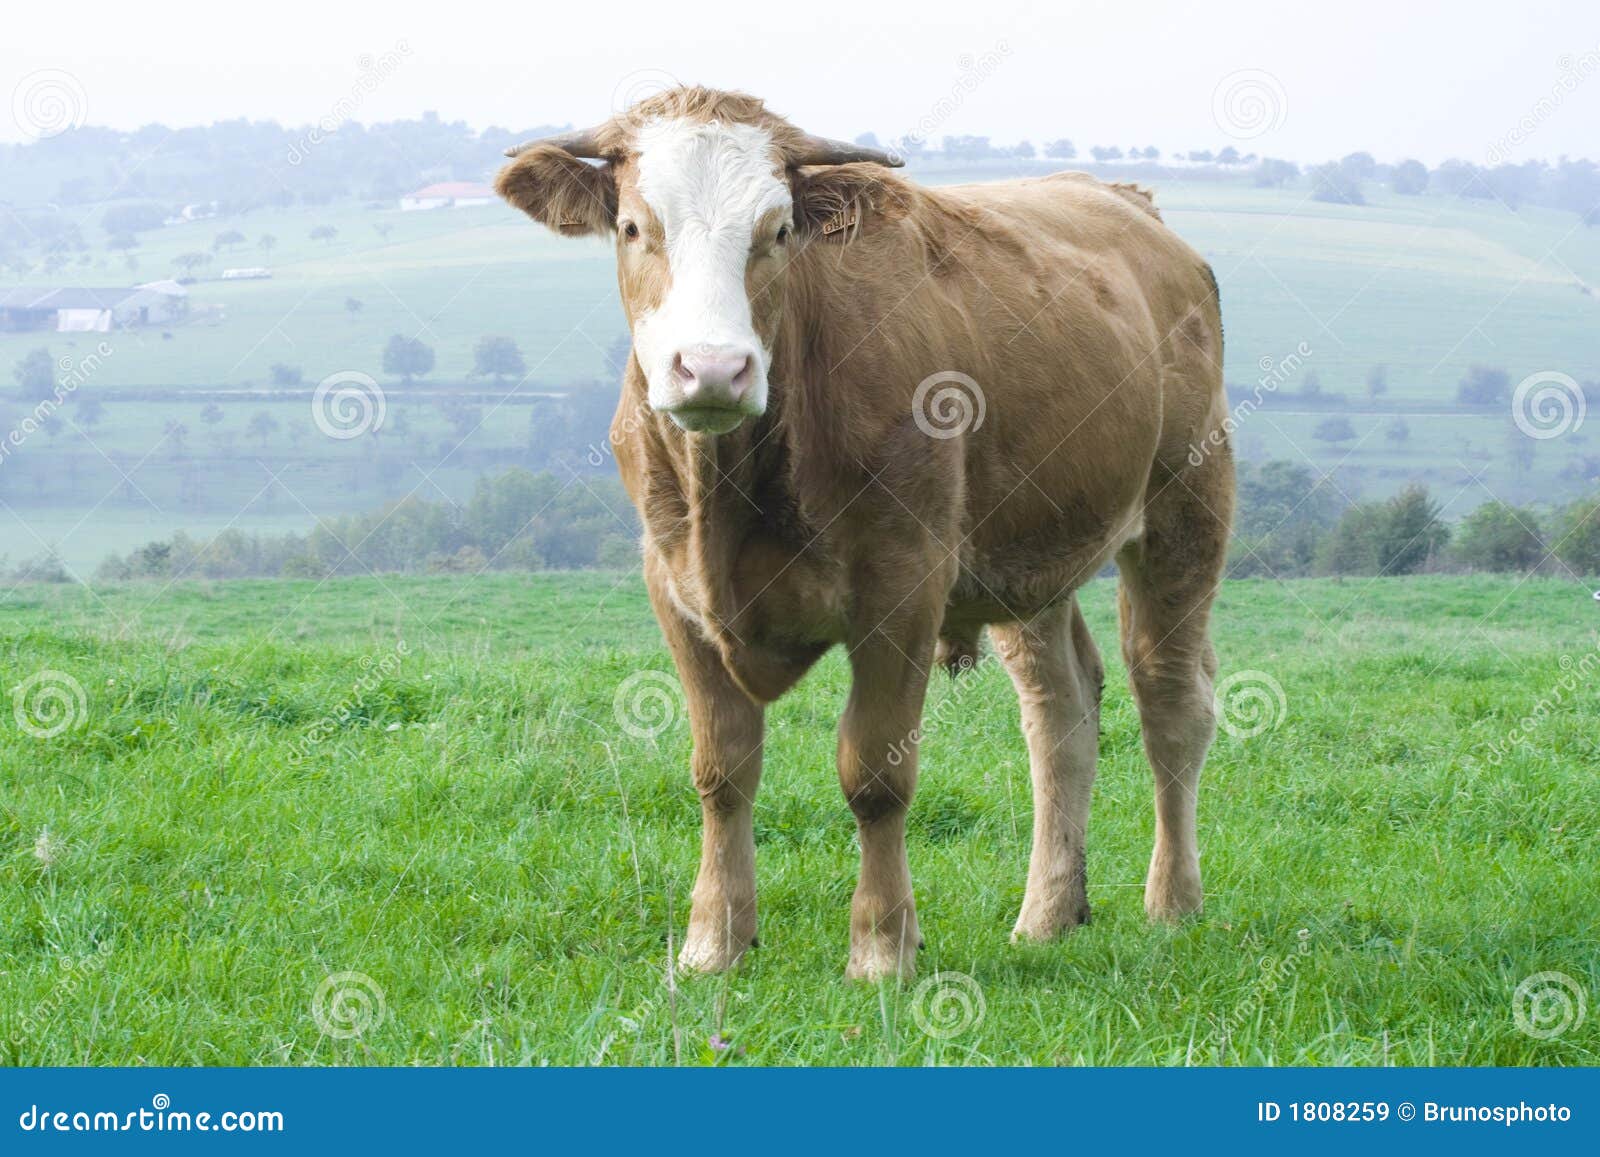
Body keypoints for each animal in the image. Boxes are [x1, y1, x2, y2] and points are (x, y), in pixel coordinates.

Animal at [497, 87, 1233, 980]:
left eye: (779, 231)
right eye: (636, 226)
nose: (712, 369)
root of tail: (1131, 205)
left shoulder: (903, 585)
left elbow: (875, 774)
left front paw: (882, 947)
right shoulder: (674, 590)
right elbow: (722, 769)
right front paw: (713, 941)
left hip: (1187, 508)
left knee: (1171, 701)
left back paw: (1174, 902)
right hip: (1031, 554)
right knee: (1060, 713)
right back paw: (1048, 912)